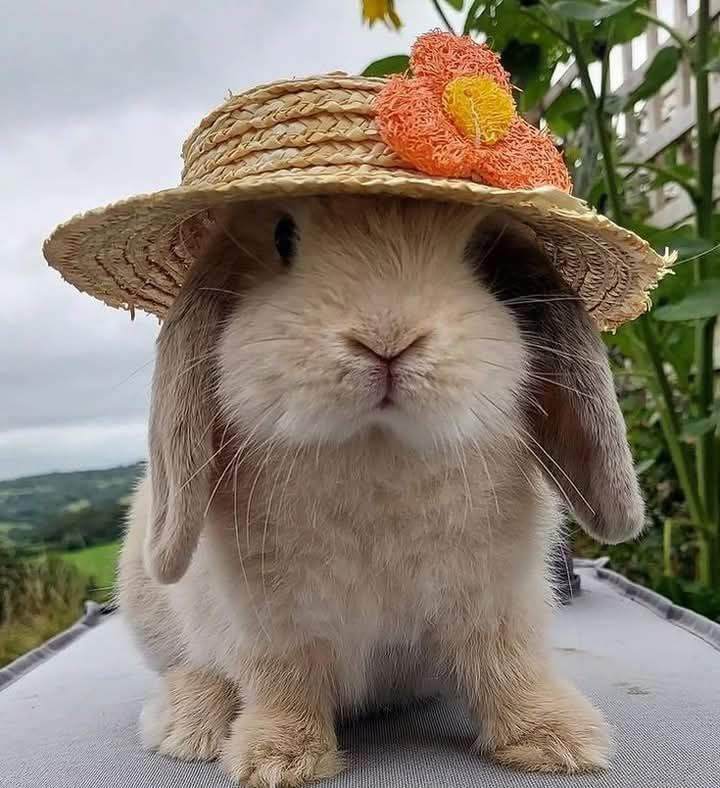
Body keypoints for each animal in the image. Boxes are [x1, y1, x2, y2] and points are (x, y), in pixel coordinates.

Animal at [118, 194, 644, 787]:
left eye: (481, 255)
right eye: (282, 237)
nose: (386, 340)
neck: (378, 450)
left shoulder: (499, 599)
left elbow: (508, 666)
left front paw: (558, 742)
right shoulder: (267, 618)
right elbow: (281, 682)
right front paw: (278, 760)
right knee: (196, 667)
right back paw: (189, 727)